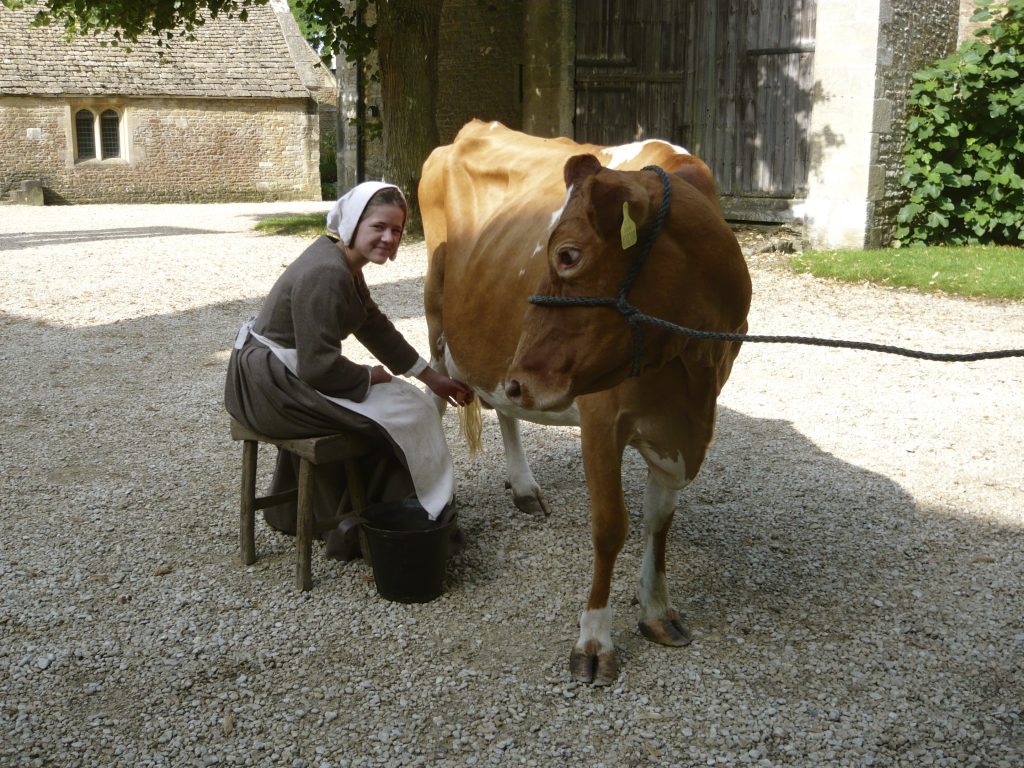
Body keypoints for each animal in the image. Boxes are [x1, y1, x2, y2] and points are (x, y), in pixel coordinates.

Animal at [419, 120, 752, 684]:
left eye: (568, 254)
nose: (522, 379)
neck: (691, 365)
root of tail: (472, 129)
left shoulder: (682, 429)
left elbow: (659, 521)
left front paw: (656, 611)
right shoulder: (602, 417)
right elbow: (610, 527)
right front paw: (595, 639)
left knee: (502, 407)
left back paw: (524, 486)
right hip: (439, 317)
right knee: (435, 397)